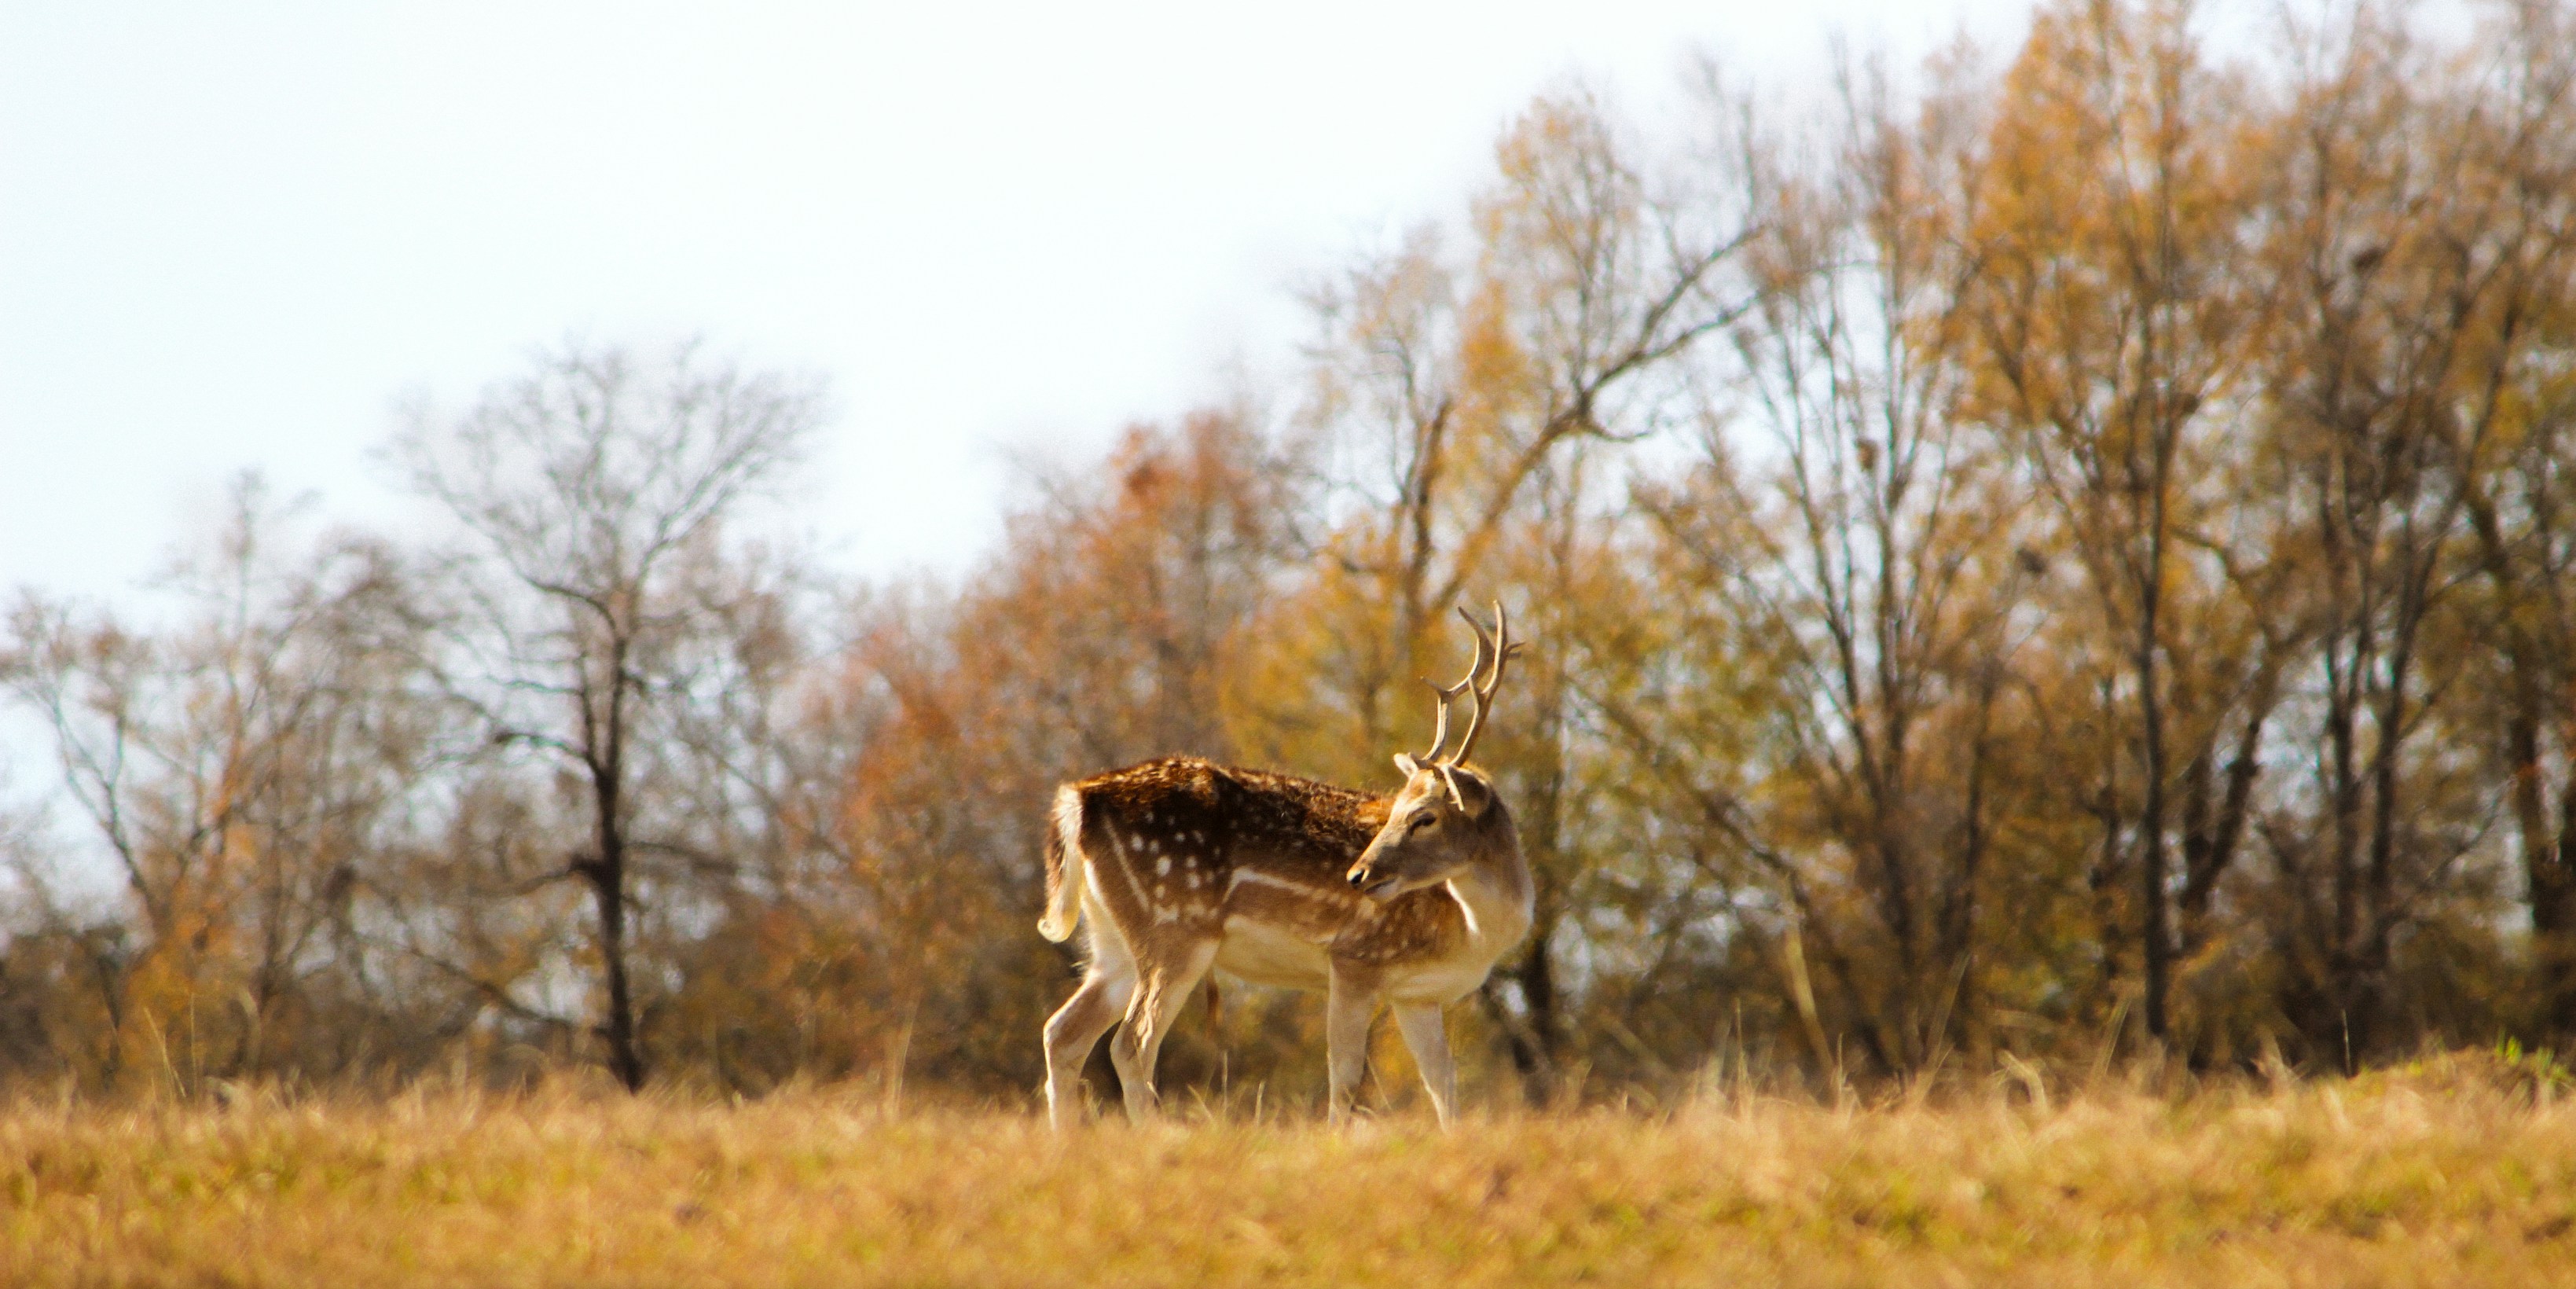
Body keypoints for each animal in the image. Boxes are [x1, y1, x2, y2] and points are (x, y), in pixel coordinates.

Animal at [1036, 603, 1531, 1128]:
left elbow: (1443, 1085)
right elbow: (1346, 1076)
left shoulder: (1418, 994)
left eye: (1424, 816)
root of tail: (1078, 802)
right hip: (1176, 928)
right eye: (1401, 809)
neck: (1472, 936)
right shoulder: (1357, 958)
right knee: (1131, 1043)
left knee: (1062, 1032)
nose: (1358, 875)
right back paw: (1158, 1133)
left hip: (1113, 943)